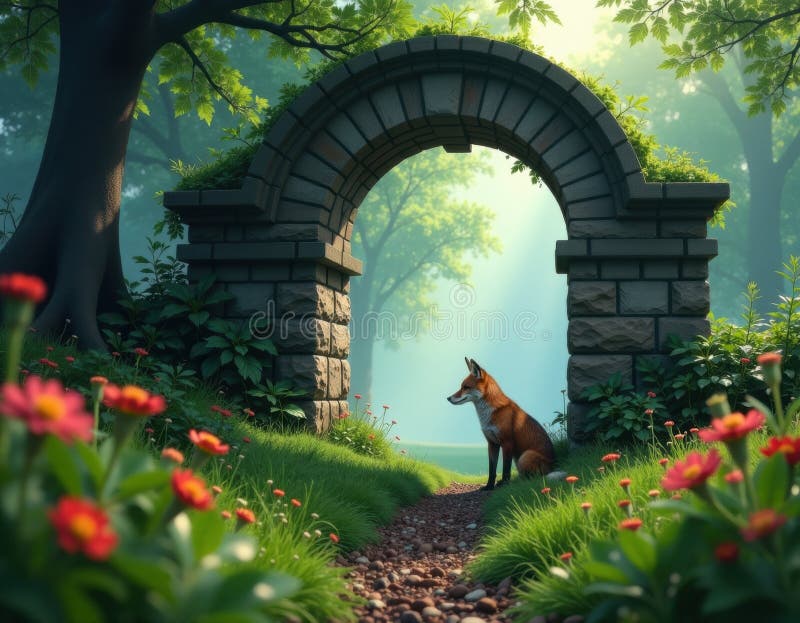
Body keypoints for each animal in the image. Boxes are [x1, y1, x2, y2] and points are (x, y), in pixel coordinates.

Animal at [447, 357, 562, 490]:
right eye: (461, 386)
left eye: (466, 387)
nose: (448, 398)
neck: (489, 414)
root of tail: (554, 465)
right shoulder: (492, 443)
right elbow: (492, 470)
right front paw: (489, 486)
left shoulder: (507, 443)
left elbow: (505, 469)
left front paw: (504, 484)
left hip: (525, 457)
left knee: (535, 478)